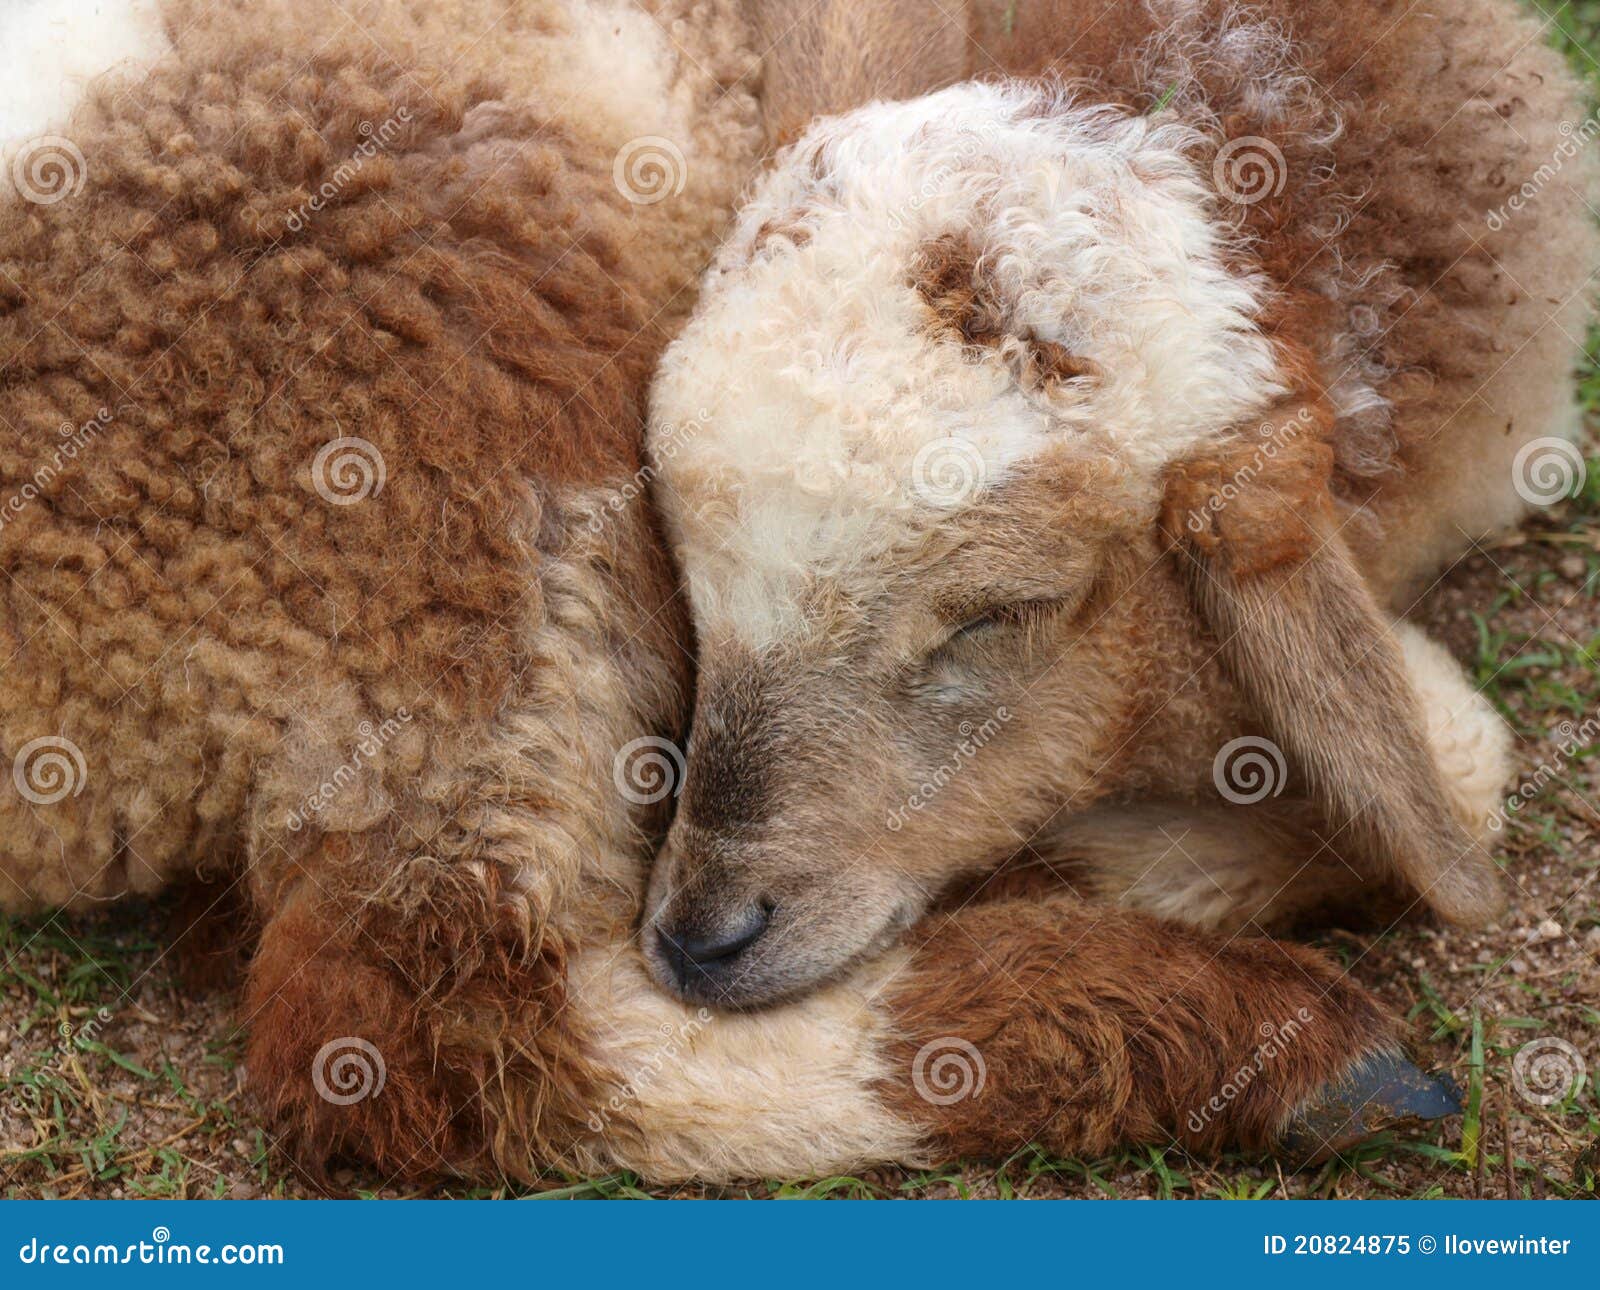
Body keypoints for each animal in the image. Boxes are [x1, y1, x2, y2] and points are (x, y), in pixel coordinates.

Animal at [0, 0, 1496, 1188]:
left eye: (993, 616)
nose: (705, 933)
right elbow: (1469, 762)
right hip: (410, 356)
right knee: (422, 1027)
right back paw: (1251, 1037)